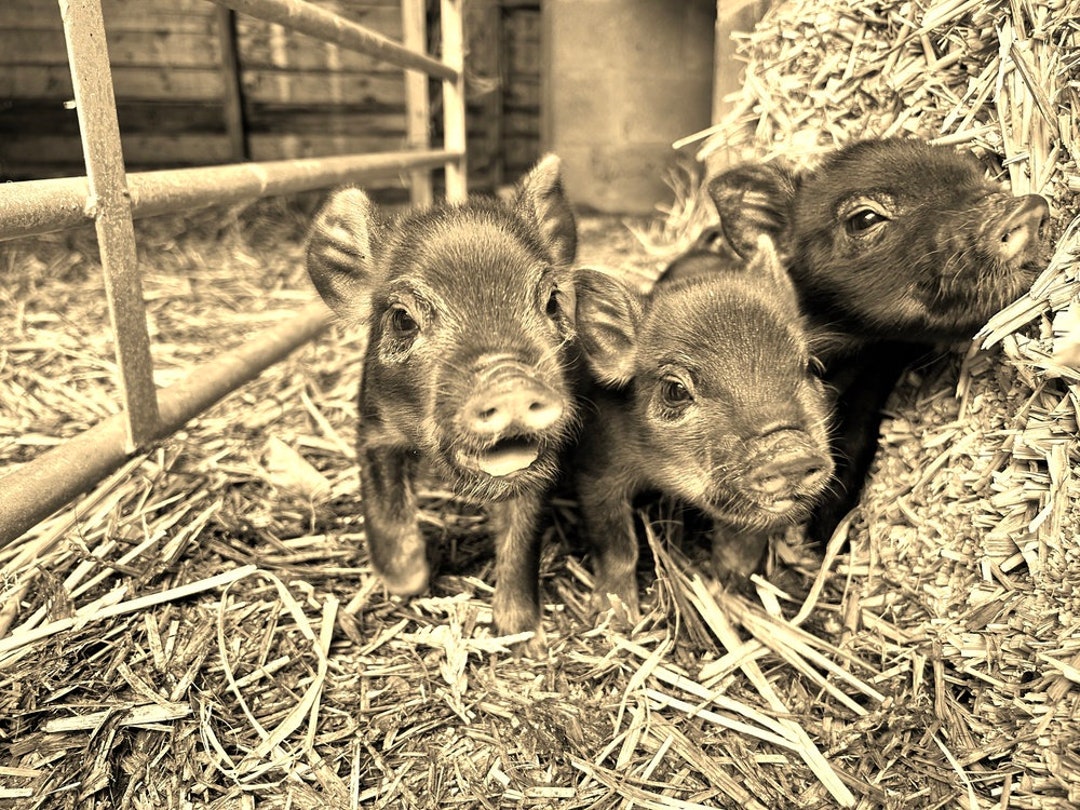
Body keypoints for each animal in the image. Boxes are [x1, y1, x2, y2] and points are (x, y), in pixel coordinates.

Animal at [305, 155, 579, 652]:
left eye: (552, 302)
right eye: (401, 319)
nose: (510, 384)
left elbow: (522, 536)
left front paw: (524, 636)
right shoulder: (373, 427)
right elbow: (385, 507)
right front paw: (407, 584)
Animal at [573, 236, 834, 618]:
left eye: (811, 367)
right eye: (675, 390)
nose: (789, 453)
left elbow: (742, 540)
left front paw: (729, 587)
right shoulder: (596, 471)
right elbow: (615, 544)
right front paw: (616, 615)